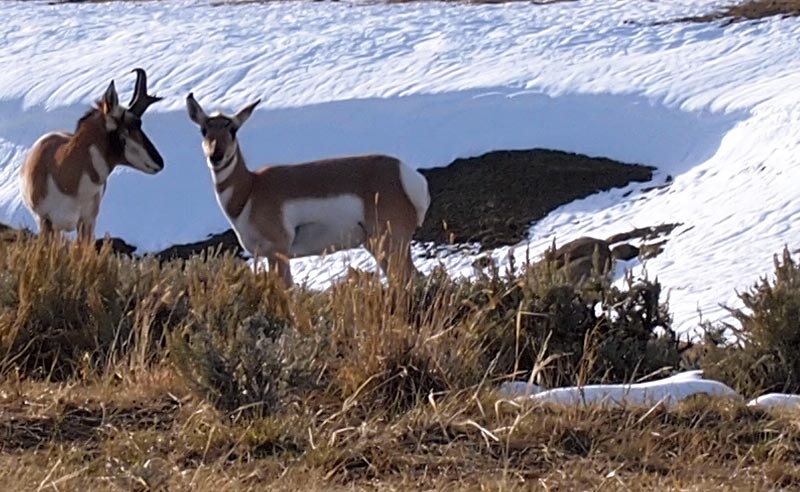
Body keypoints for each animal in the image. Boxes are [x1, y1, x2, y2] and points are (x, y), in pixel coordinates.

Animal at [185, 93, 431, 288]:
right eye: (204, 130)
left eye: (233, 129)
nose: (216, 156)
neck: (250, 190)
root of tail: (405, 173)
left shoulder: (278, 252)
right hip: (377, 244)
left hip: (391, 242)